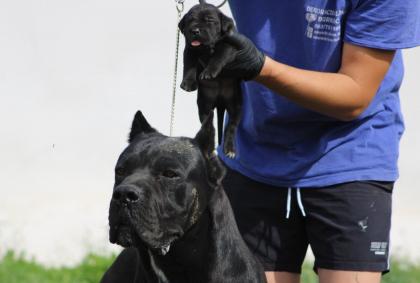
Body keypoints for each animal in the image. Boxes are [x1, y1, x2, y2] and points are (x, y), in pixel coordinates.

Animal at [179, 0, 241, 160]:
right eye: (190, 20)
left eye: (210, 21)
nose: (195, 31)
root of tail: (220, 102)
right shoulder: (189, 49)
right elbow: (189, 66)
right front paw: (188, 83)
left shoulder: (229, 45)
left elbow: (218, 57)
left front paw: (209, 71)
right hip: (204, 105)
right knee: (208, 125)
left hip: (235, 104)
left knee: (231, 127)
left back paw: (230, 149)